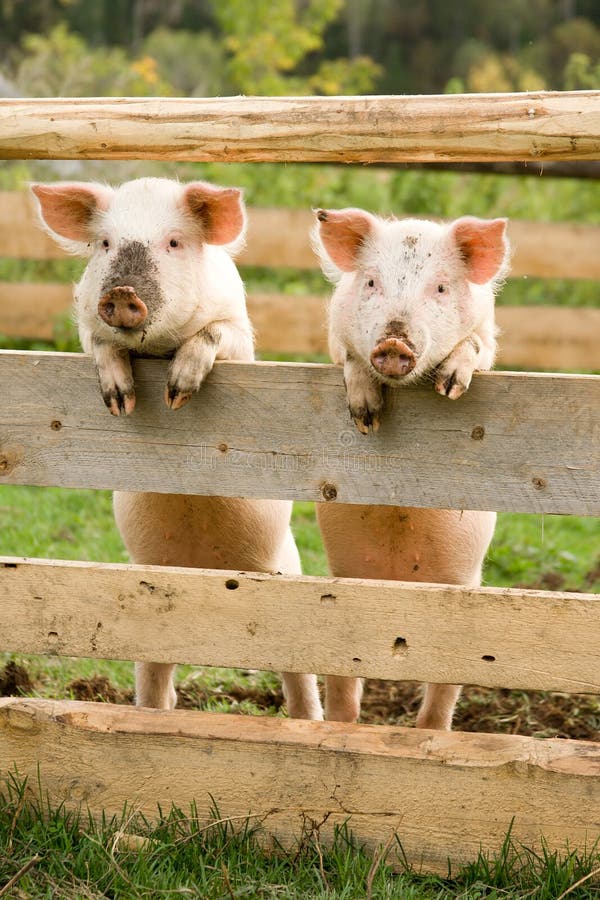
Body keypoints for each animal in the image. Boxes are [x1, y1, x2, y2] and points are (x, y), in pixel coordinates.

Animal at [31, 177, 323, 720]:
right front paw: (121, 401)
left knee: (300, 685)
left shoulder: (241, 335)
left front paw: (177, 392)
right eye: (106, 244)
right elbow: (100, 345)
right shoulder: (86, 329)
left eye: (173, 242)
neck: (157, 351)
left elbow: (216, 335)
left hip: (286, 572)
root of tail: (208, 572)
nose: (122, 292)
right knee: (159, 688)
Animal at [312, 207, 509, 729]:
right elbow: (349, 359)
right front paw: (366, 417)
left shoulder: (488, 338)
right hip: (345, 582)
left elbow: (474, 349)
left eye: (440, 287)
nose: (395, 342)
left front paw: (450, 387)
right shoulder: (336, 338)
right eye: (372, 282)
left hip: (462, 587)